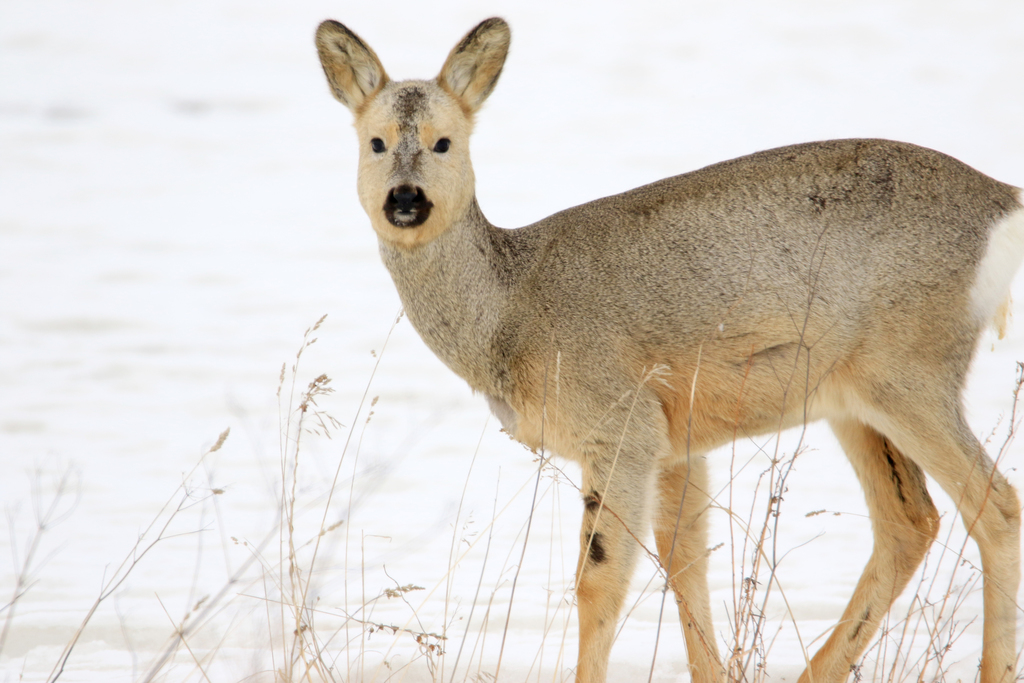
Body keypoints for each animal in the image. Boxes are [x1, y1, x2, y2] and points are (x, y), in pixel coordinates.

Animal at [314, 16, 1023, 683]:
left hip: (911, 367)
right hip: (852, 396)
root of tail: (1003, 200)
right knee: (910, 522)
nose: (406, 199)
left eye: (445, 142)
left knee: (996, 506)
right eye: (375, 142)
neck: (510, 309)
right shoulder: (677, 436)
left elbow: (598, 582)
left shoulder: (621, 422)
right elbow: (686, 560)